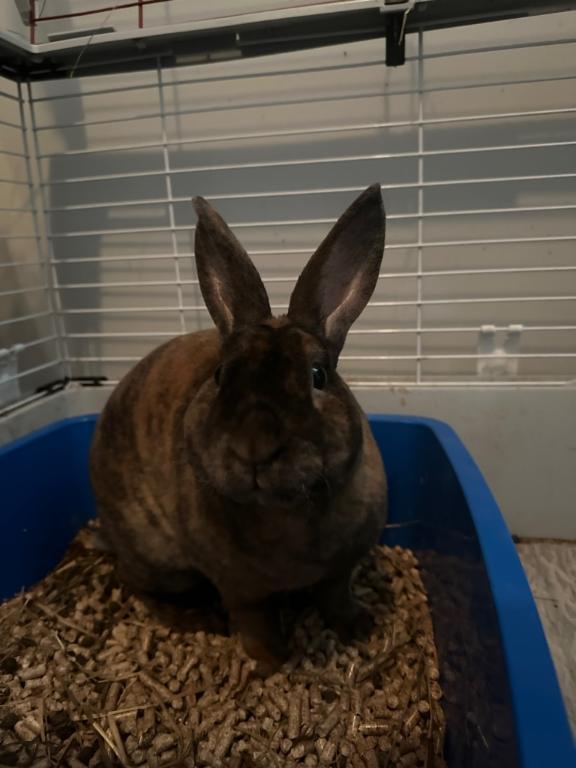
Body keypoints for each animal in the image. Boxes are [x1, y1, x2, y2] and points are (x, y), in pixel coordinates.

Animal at [90, 183, 388, 669]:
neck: (284, 515)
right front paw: (272, 663)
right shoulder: (239, 590)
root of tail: (109, 536)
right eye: (219, 375)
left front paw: (359, 627)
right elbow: (256, 623)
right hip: (158, 557)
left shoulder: (339, 571)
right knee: (137, 584)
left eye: (318, 375)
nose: (254, 446)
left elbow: (335, 596)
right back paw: (198, 620)